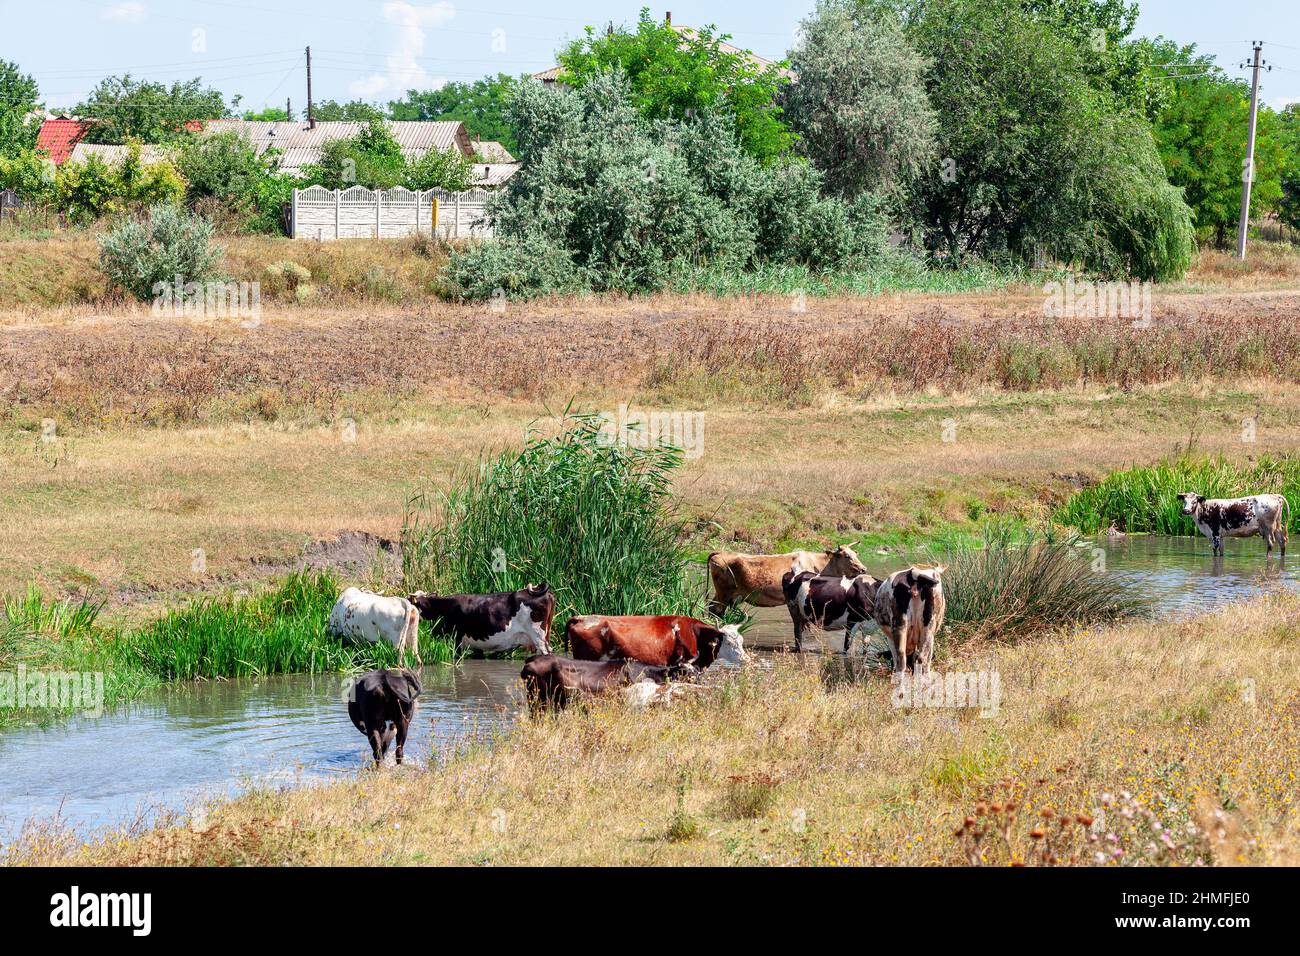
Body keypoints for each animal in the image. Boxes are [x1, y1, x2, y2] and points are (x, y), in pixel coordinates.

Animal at [706, 545, 869, 615]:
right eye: (846, 556)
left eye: (856, 554)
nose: (863, 569)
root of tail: (720, 552)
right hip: (723, 594)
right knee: (715, 610)